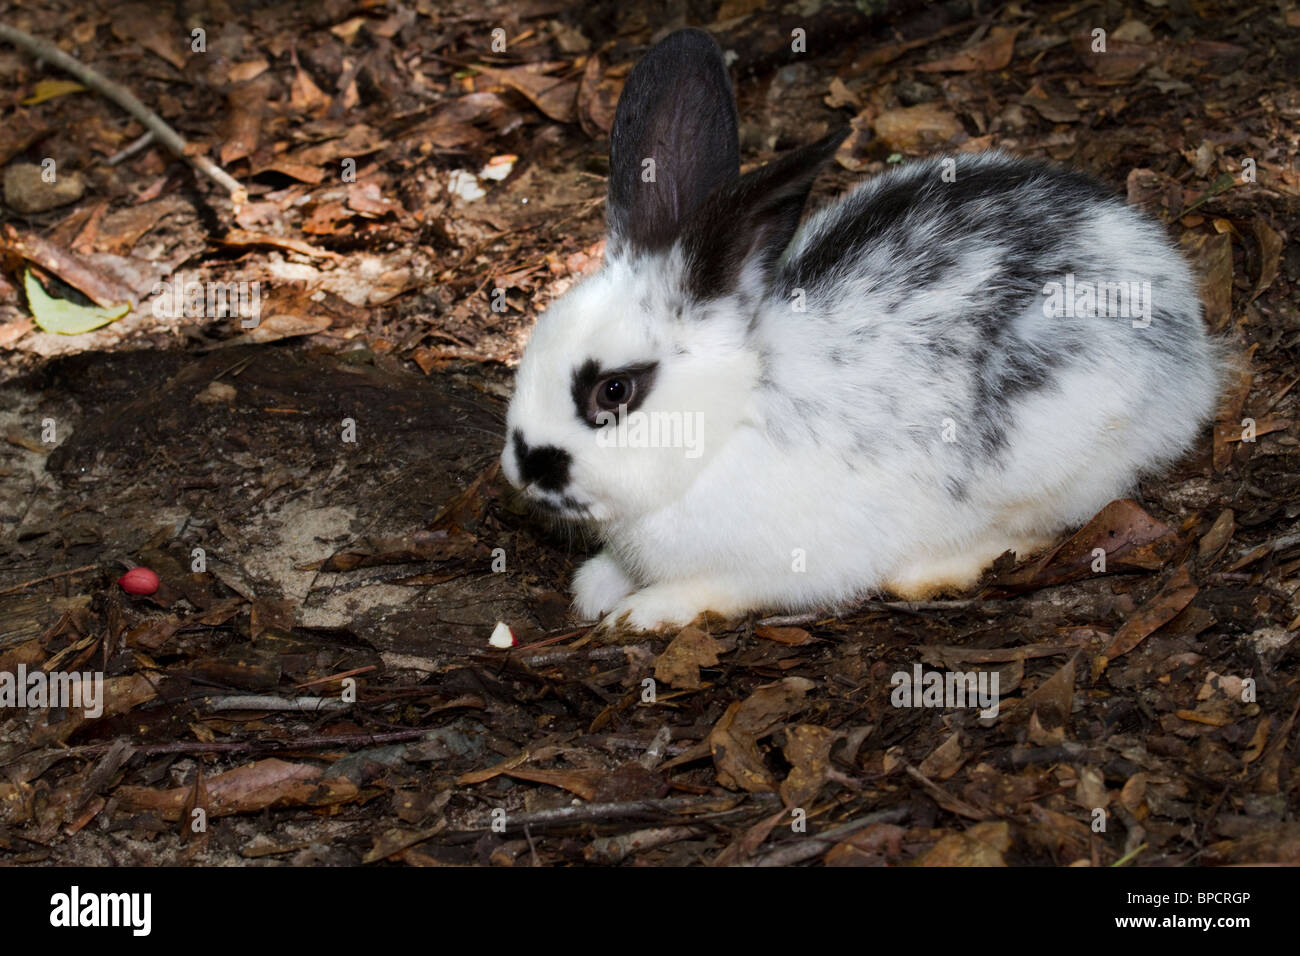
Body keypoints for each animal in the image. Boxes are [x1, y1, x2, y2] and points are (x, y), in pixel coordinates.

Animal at [500, 28, 1222, 632]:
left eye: (614, 391)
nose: (527, 467)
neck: (730, 417)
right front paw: (597, 586)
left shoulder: (782, 566)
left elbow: (721, 589)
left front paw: (643, 611)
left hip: (1065, 452)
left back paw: (932, 569)